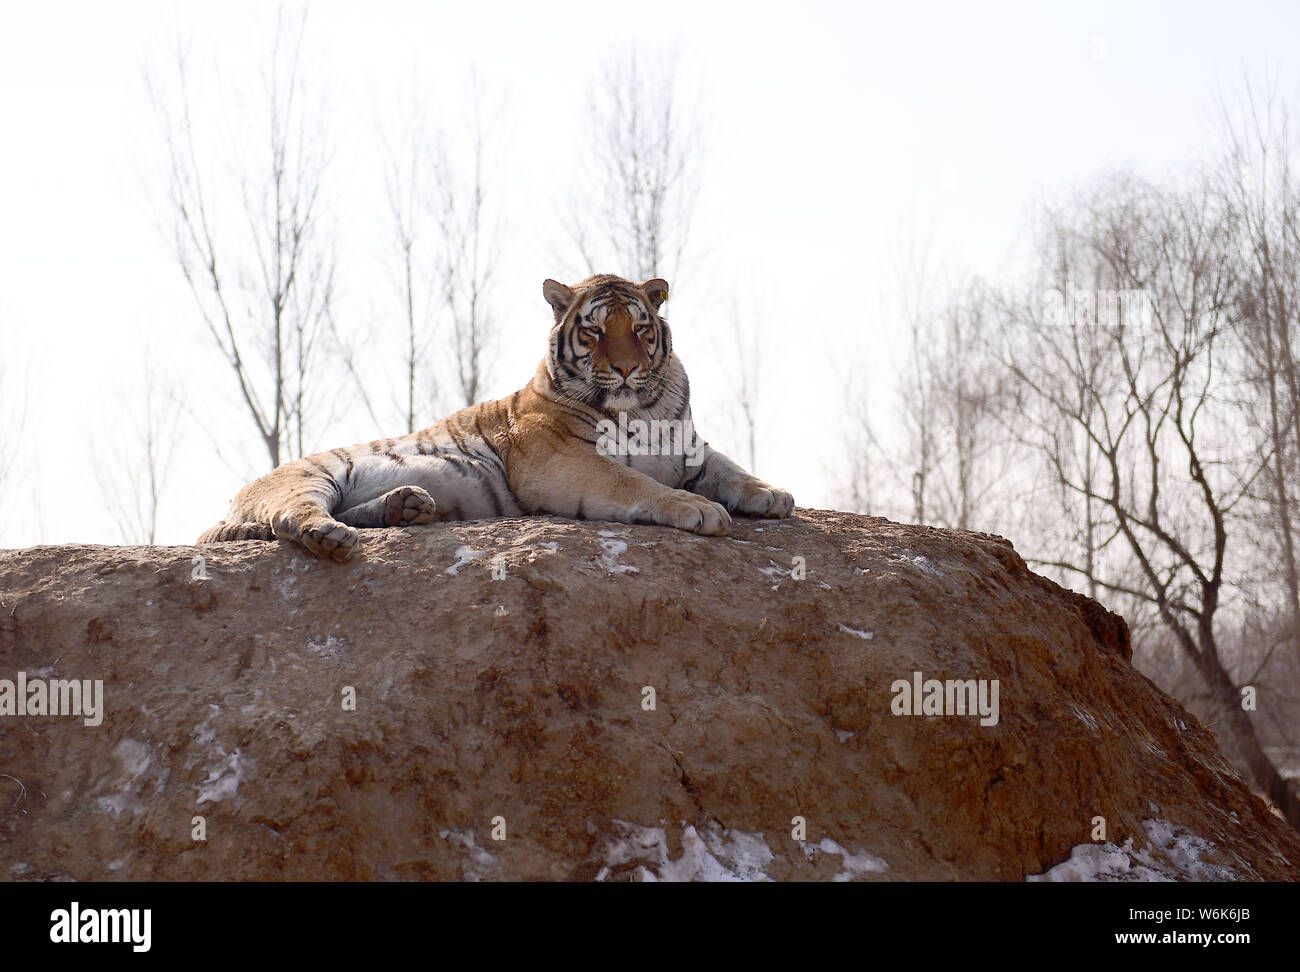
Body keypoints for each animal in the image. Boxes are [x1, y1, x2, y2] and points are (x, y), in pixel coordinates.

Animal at [197, 273, 795, 561]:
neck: (642, 410)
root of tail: (230, 504)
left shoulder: (690, 446)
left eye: (640, 327)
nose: (625, 368)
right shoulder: (562, 459)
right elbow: (635, 483)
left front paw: (773, 496)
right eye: (595, 330)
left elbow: (731, 468)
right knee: (293, 517)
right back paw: (334, 537)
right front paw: (700, 509)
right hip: (308, 477)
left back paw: (406, 506)